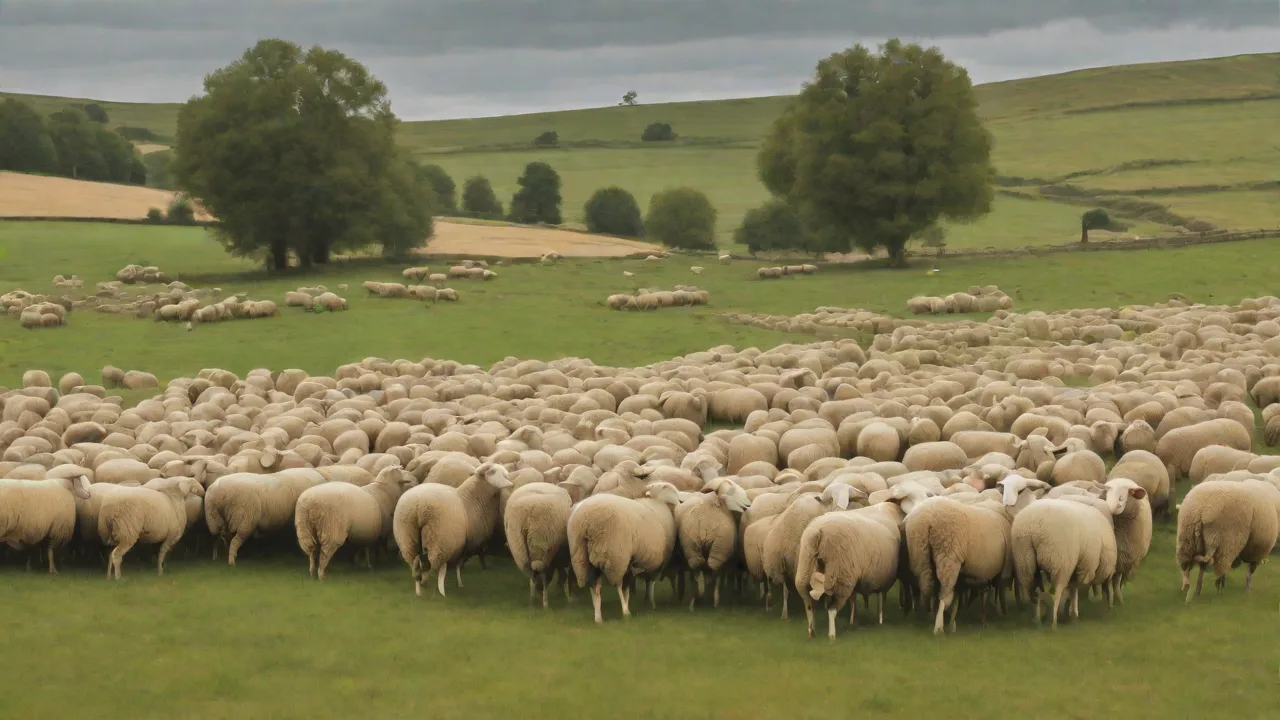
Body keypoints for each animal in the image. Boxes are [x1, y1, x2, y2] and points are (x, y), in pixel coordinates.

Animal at [393, 461, 513, 597]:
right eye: (492, 472)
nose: (511, 483)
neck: (471, 500)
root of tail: (418, 504)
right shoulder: (465, 543)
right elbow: (459, 563)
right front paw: (459, 582)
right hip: (438, 539)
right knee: (431, 566)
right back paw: (433, 586)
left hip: (407, 535)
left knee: (415, 562)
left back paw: (419, 588)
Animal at [567, 480, 682, 623]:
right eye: (665, 488)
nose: (681, 501)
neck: (658, 502)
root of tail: (586, 521)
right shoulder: (657, 563)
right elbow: (645, 584)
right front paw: (651, 604)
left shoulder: (633, 561)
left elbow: (633, 584)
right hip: (615, 555)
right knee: (614, 584)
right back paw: (624, 611)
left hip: (581, 556)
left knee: (594, 585)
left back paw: (597, 614)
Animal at [673, 478, 751, 610]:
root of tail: (705, 523)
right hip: (720, 547)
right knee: (714, 570)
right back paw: (714, 599)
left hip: (691, 545)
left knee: (697, 567)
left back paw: (695, 599)